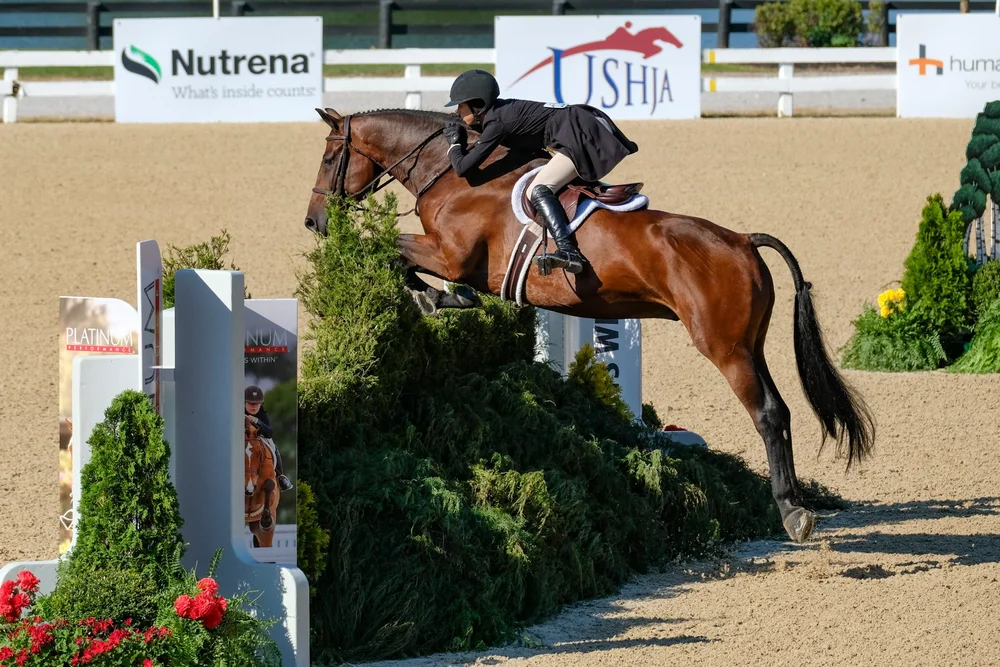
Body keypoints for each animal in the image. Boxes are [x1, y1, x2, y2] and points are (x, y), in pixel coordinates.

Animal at [303, 106, 876, 544]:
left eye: (330, 156)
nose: (315, 222)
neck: (455, 176)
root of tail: (740, 240)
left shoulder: (451, 255)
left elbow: (393, 251)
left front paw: (435, 297)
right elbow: (403, 259)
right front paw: (438, 299)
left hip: (726, 348)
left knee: (767, 414)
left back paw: (792, 513)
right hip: (749, 344)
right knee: (780, 410)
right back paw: (795, 502)